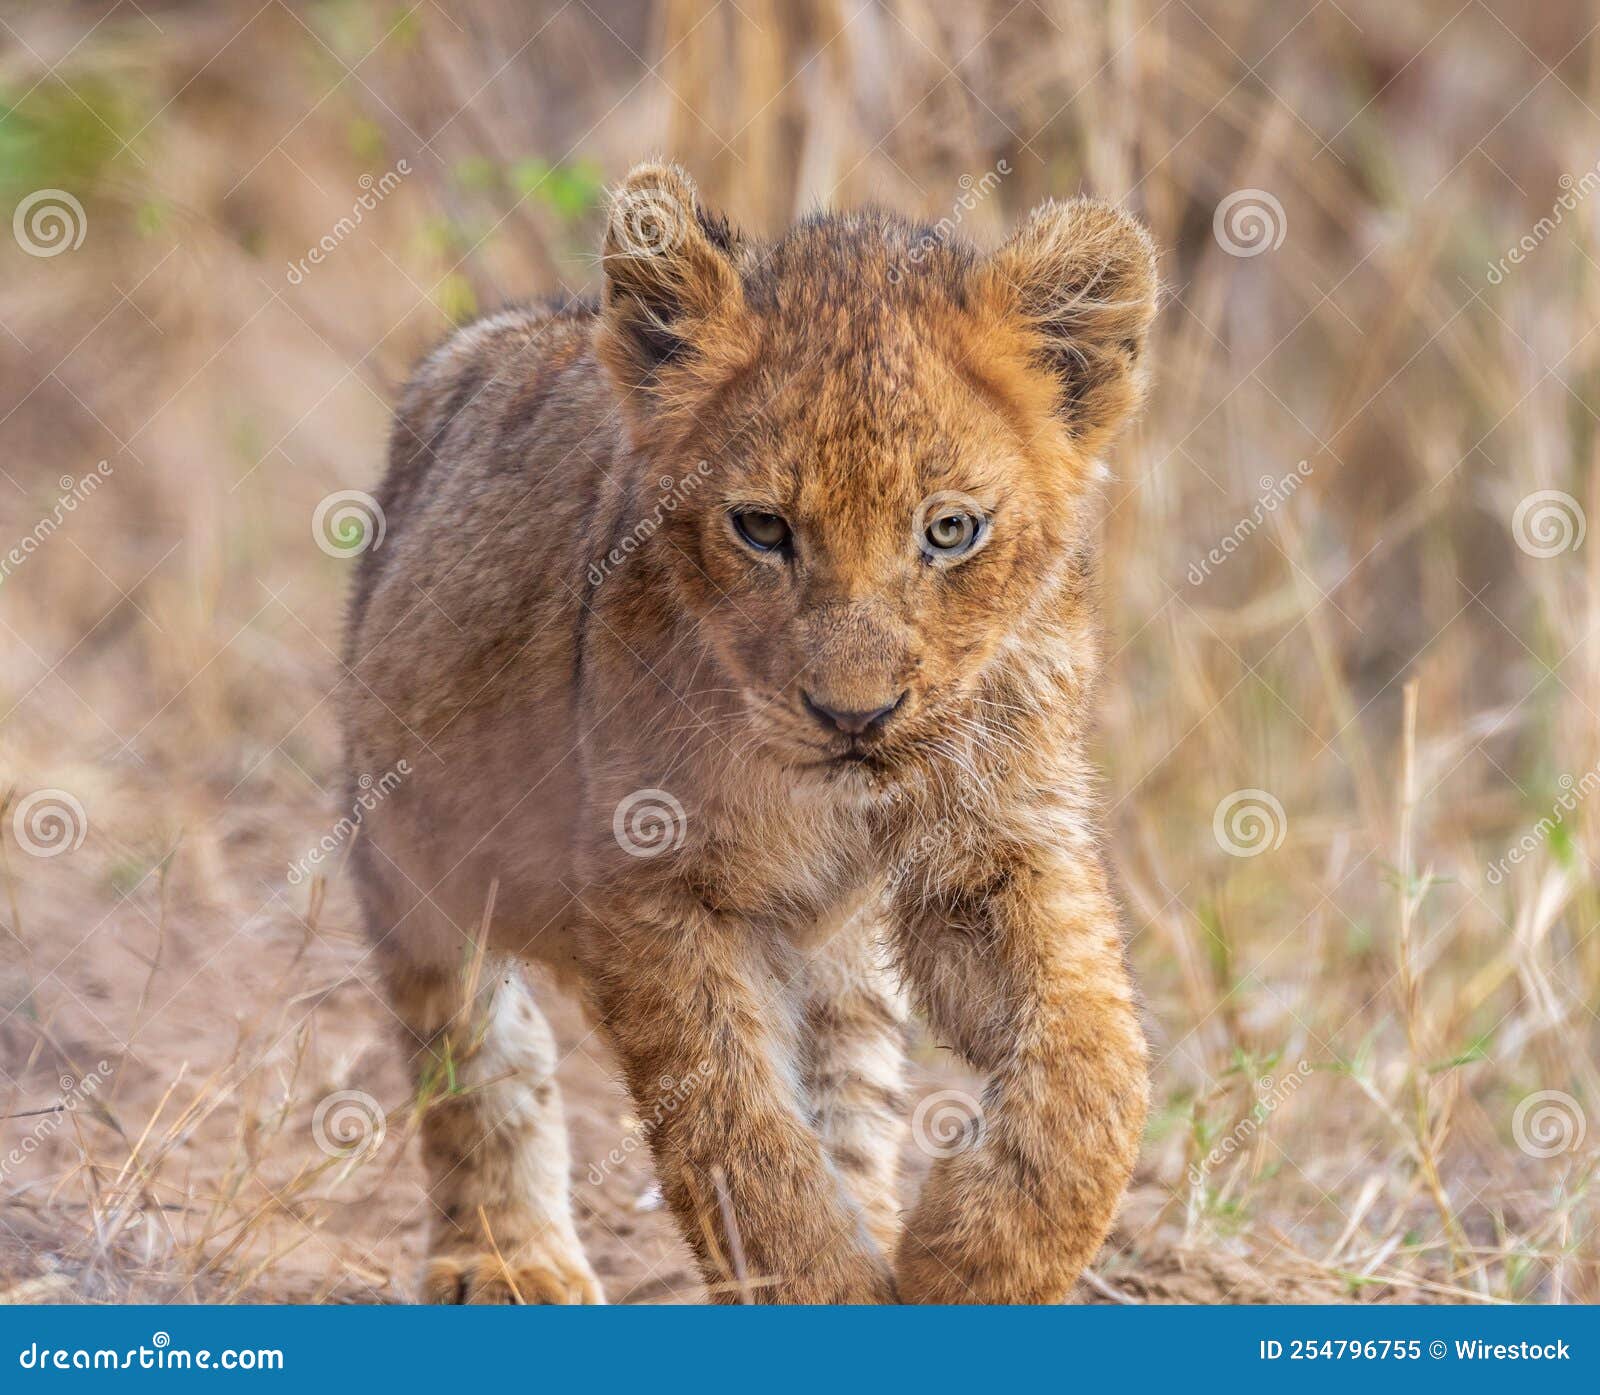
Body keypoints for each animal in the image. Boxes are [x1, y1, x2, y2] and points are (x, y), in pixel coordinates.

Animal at [340, 162, 1158, 1303]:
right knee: (473, 1049)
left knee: (849, 1081)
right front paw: (823, 1285)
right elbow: (735, 1126)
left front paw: (975, 1257)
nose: (856, 717)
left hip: (840, 960)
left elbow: (1094, 1063)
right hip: (410, 839)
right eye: (762, 528)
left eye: (950, 531)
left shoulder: (997, 844)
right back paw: (505, 1259)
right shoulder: (655, 881)